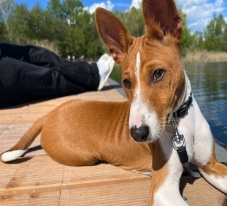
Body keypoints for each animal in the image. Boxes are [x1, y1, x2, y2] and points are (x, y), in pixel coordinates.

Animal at [0, 0, 226, 204]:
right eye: (126, 82)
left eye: (158, 73)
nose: (137, 134)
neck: (182, 121)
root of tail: (49, 114)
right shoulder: (163, 188)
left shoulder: (211, 166)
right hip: (84, 157)